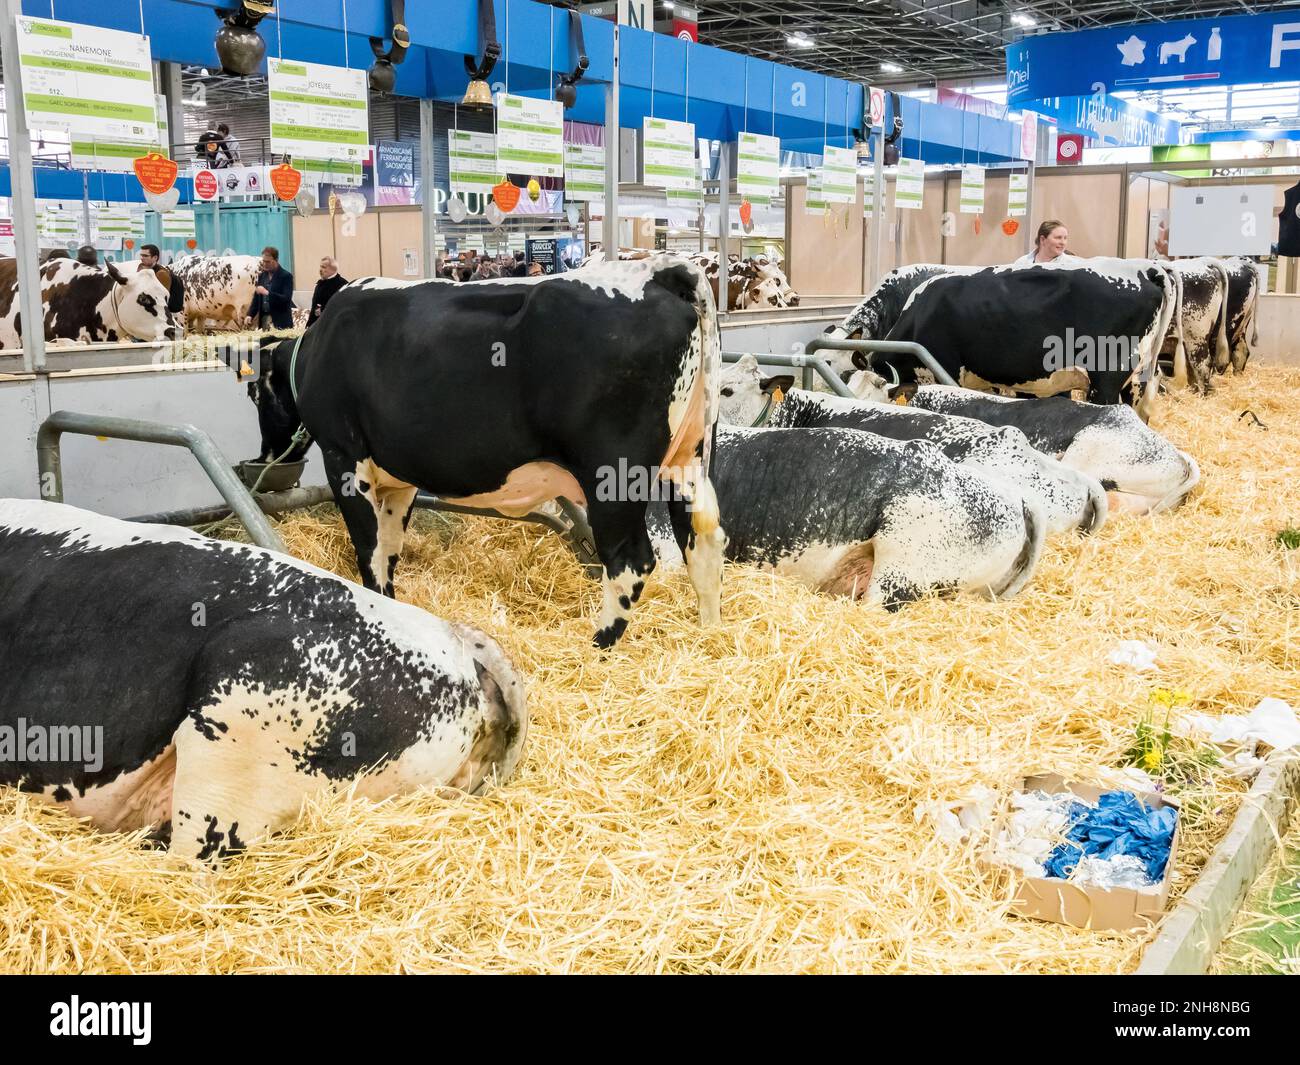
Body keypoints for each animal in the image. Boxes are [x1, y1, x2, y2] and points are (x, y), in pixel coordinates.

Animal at [243, 255, 725, 648]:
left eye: (256, 395)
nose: (265, 458)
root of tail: (660, 271)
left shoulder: (344, 456)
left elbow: (370, 548)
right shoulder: (399, 478)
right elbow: (391, 543)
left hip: (614, 474)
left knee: (630, 559)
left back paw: (598, 647)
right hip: (690, 460)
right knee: (703, 541)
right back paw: (709, 633)